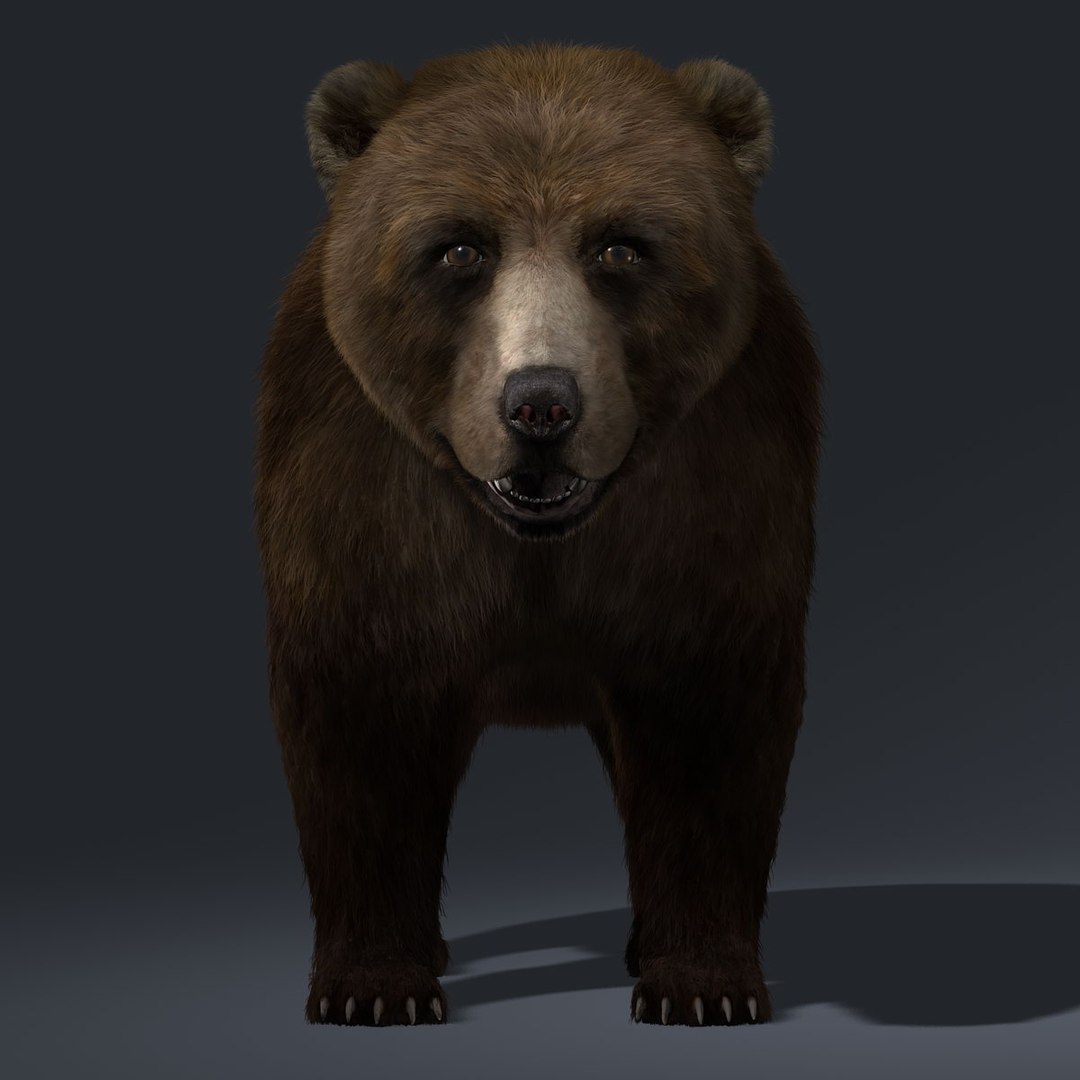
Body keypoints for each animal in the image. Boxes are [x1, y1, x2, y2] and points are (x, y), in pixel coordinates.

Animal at [254, 41, 823, 1028]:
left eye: (620, 246)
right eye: (460, 247)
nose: (542, 404)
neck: (537, 549)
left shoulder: (709, 509)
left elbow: (709, 729)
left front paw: (700, 984)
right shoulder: (367, 511)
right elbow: (362, 729)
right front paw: (375, 986)